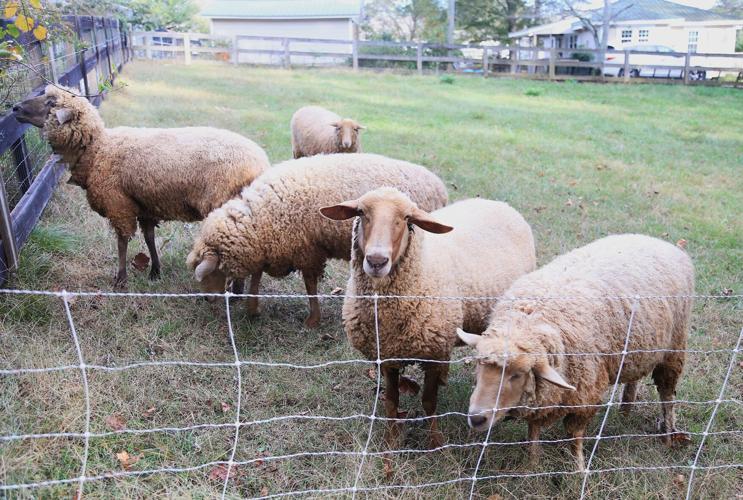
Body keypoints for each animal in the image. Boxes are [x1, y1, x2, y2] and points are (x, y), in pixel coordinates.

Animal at [12, 84, 270, 287]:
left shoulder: (118, 204)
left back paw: (234, 294)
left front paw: (121, 279)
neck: (97, 149)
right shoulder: (145, 204)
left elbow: (122, 243)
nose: (14, 108)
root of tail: (261, 162)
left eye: (51, 102)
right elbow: (149, 238)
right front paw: (155, 271)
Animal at [186, 153, 448, 328]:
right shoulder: (270, 248)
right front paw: (252, 309)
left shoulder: (307, 251)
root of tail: (440, 187)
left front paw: (313, 319)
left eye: (213, 271)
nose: (207, 299)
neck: (261, 214)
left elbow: (310, 286)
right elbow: (257, 275)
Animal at [320, 187, 536, 453]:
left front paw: (436, 443)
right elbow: (391, 401)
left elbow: (429, 402)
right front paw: (391, 441)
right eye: (361, 212)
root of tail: (497, 203)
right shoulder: (388, 355)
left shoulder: (434, 353)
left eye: (406, 219)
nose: (377, 261)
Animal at [457, 234, 694, 471]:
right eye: (479, 366)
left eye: (517, 374)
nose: (476, 419)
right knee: (634, 376)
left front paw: (578, 467)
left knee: (667, 394)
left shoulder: (585, 393)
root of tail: (653, 239)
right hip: (639, 346)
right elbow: (533, 429)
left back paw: (668, 435)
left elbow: (574, 434)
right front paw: (533, 464)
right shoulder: (542, 395)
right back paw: (626, 409)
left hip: (673, 348)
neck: (530, 319)